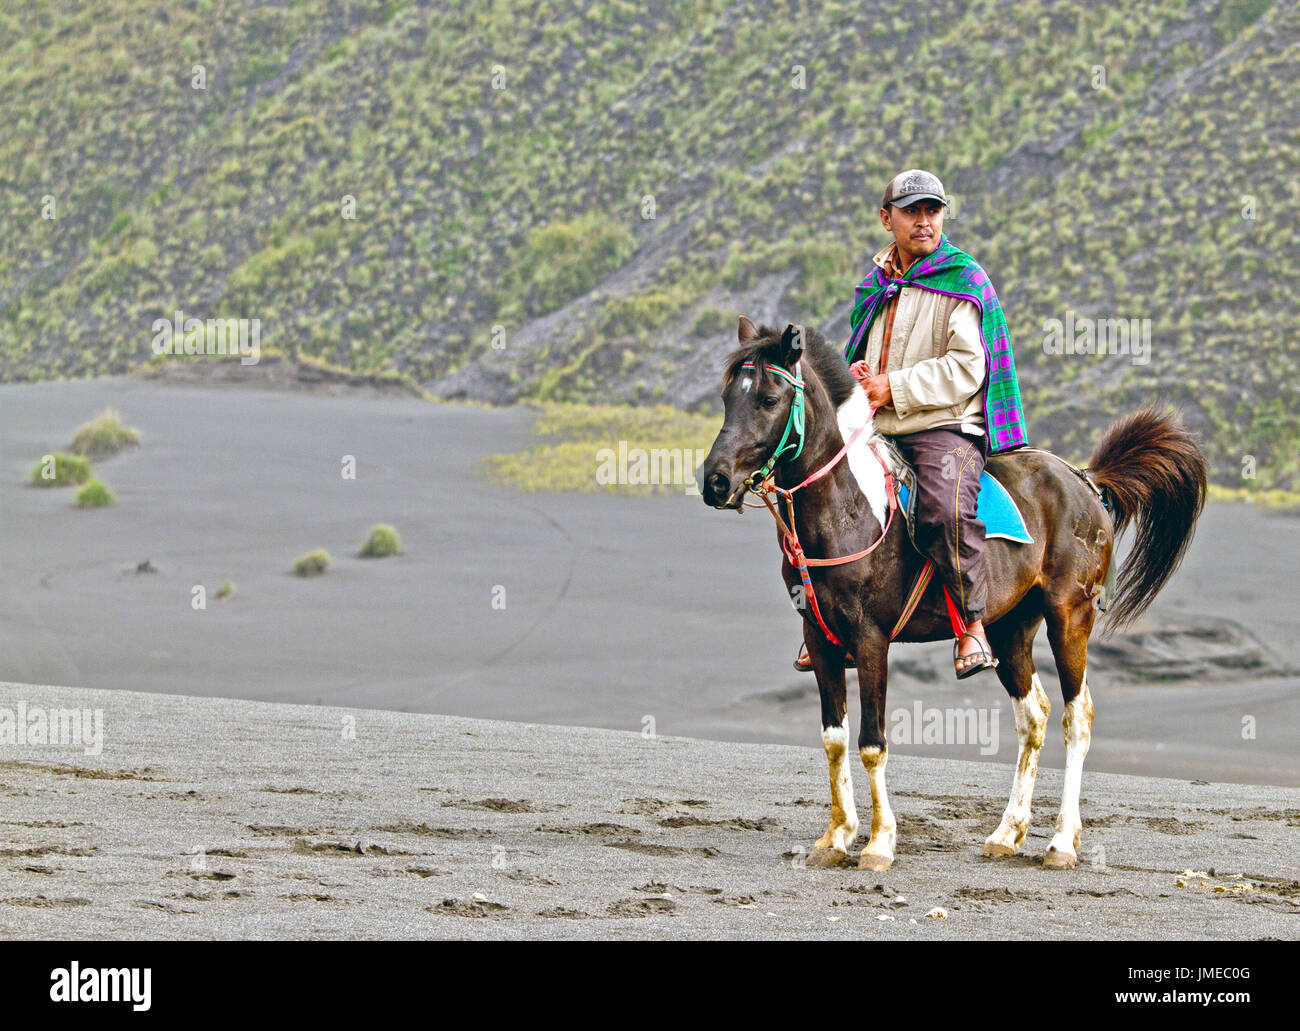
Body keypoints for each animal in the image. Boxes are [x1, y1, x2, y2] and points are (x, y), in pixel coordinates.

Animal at [699, 316, 1206, 871]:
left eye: (769, 399)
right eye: (726, 397)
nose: (715, 482)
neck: (846, 508)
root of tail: (1085, 481)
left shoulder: (871, 640)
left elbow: (872, 742)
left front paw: (879, 843)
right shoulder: (820, 638)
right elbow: (834, 739)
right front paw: (836, 837)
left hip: (1069, 616)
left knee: (1078, 717)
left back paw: (1061, 842)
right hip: (1011, 629)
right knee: (1035, 715)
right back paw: (1007, 833)